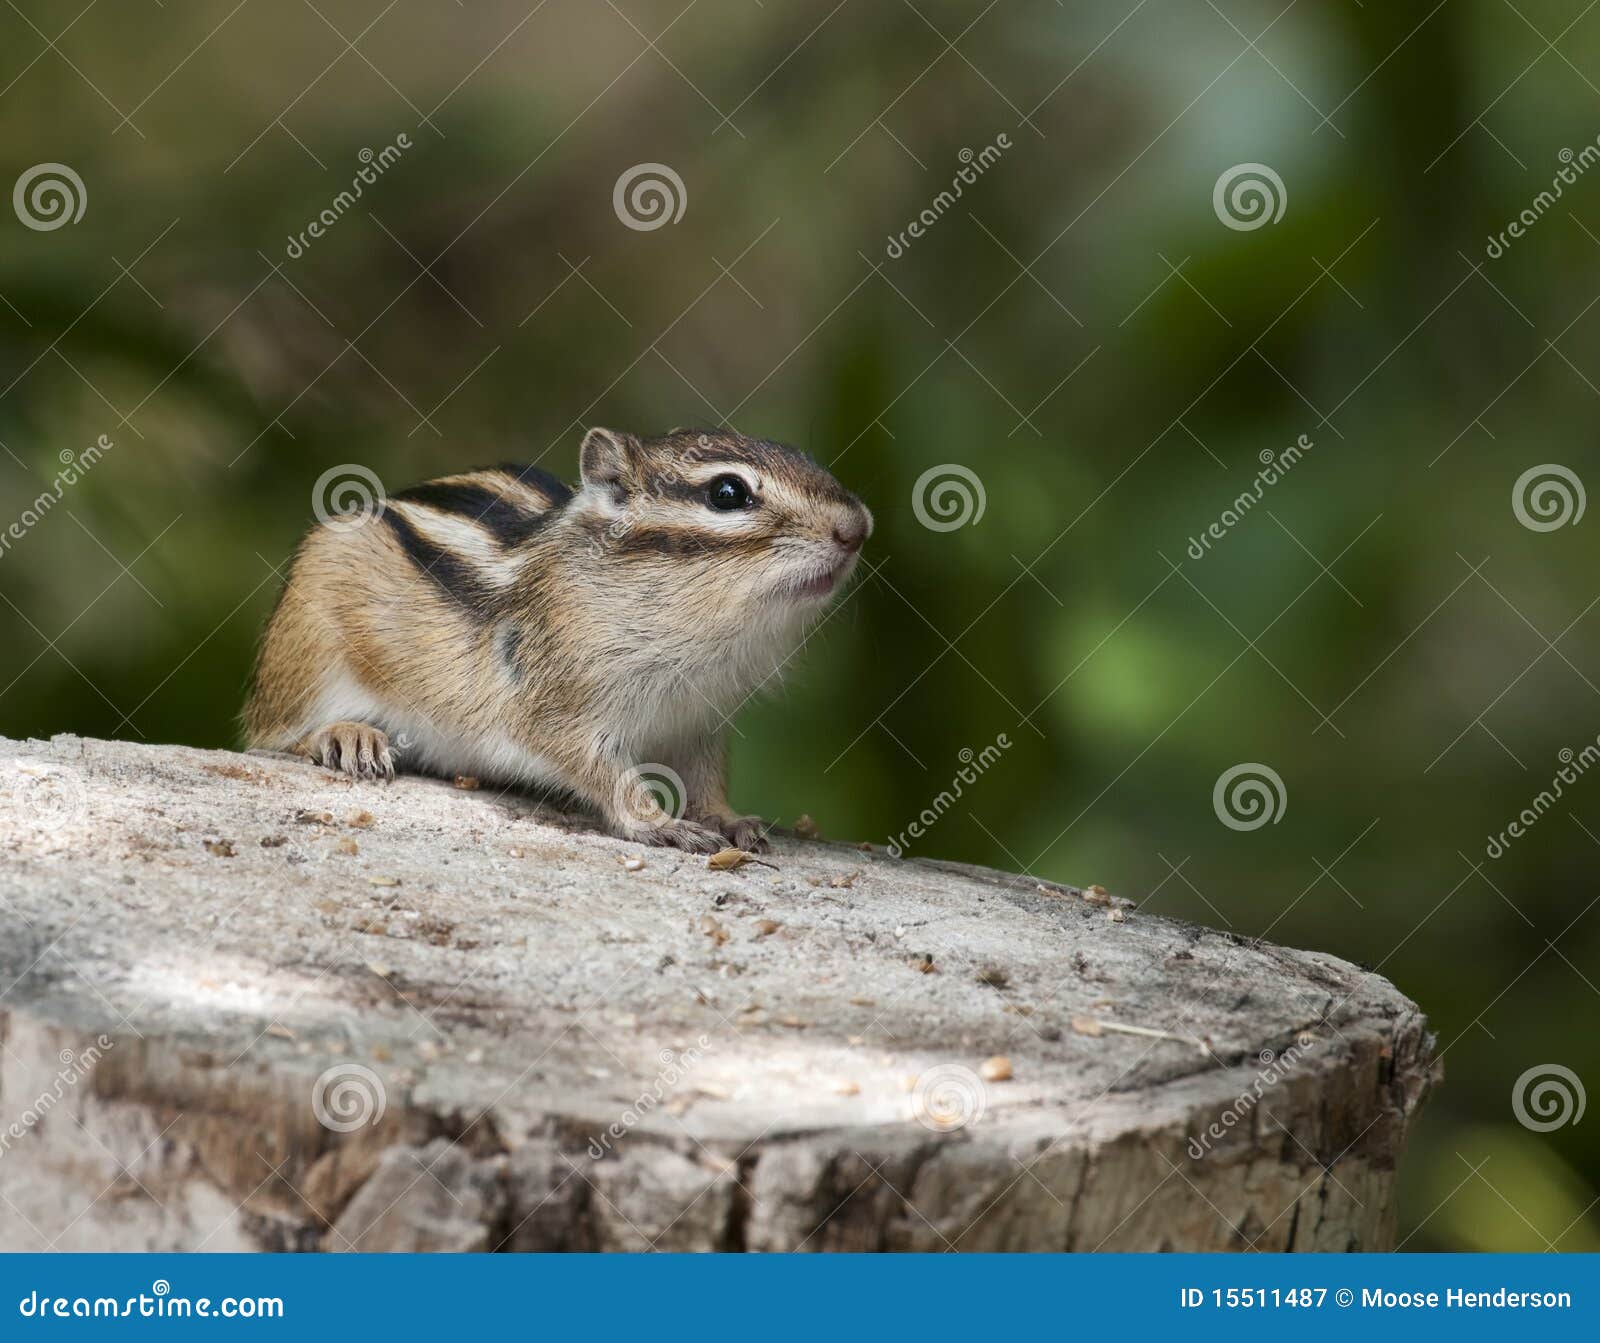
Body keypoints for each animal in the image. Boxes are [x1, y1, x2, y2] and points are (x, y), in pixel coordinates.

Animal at [244, 427, 872, 853]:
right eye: (727, 493)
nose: (858, 527)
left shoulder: (699, 722)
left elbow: (705, 780)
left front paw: (727, 818)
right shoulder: (559, 706)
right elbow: (601, 771)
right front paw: (662, 825)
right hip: (306, 655)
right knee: (271, 736)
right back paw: (347, 736)